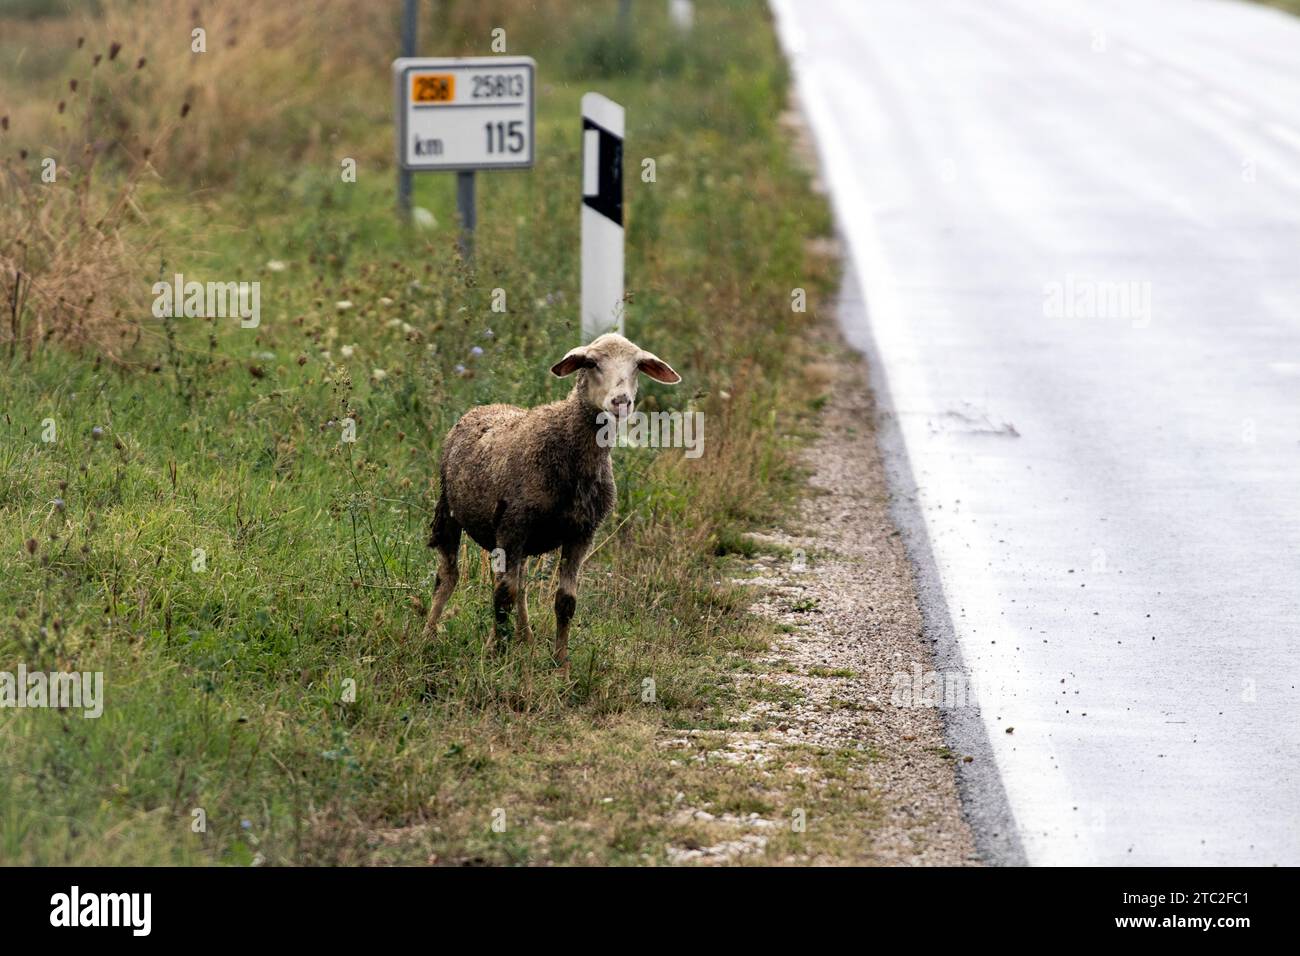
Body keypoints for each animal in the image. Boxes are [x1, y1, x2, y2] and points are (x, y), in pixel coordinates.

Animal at [422, 332, 681, 667]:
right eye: (591, 363)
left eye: (637, 365)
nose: (621, 401)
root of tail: (487, 407)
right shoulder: (514, 525)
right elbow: (502, 595)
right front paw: (494, 655)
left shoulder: (581, 533)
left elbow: (565, 601)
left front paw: (561, 664)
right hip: (450, 510)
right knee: (449, 577)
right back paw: (428, 635)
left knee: (518, 585)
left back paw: (526, 638)